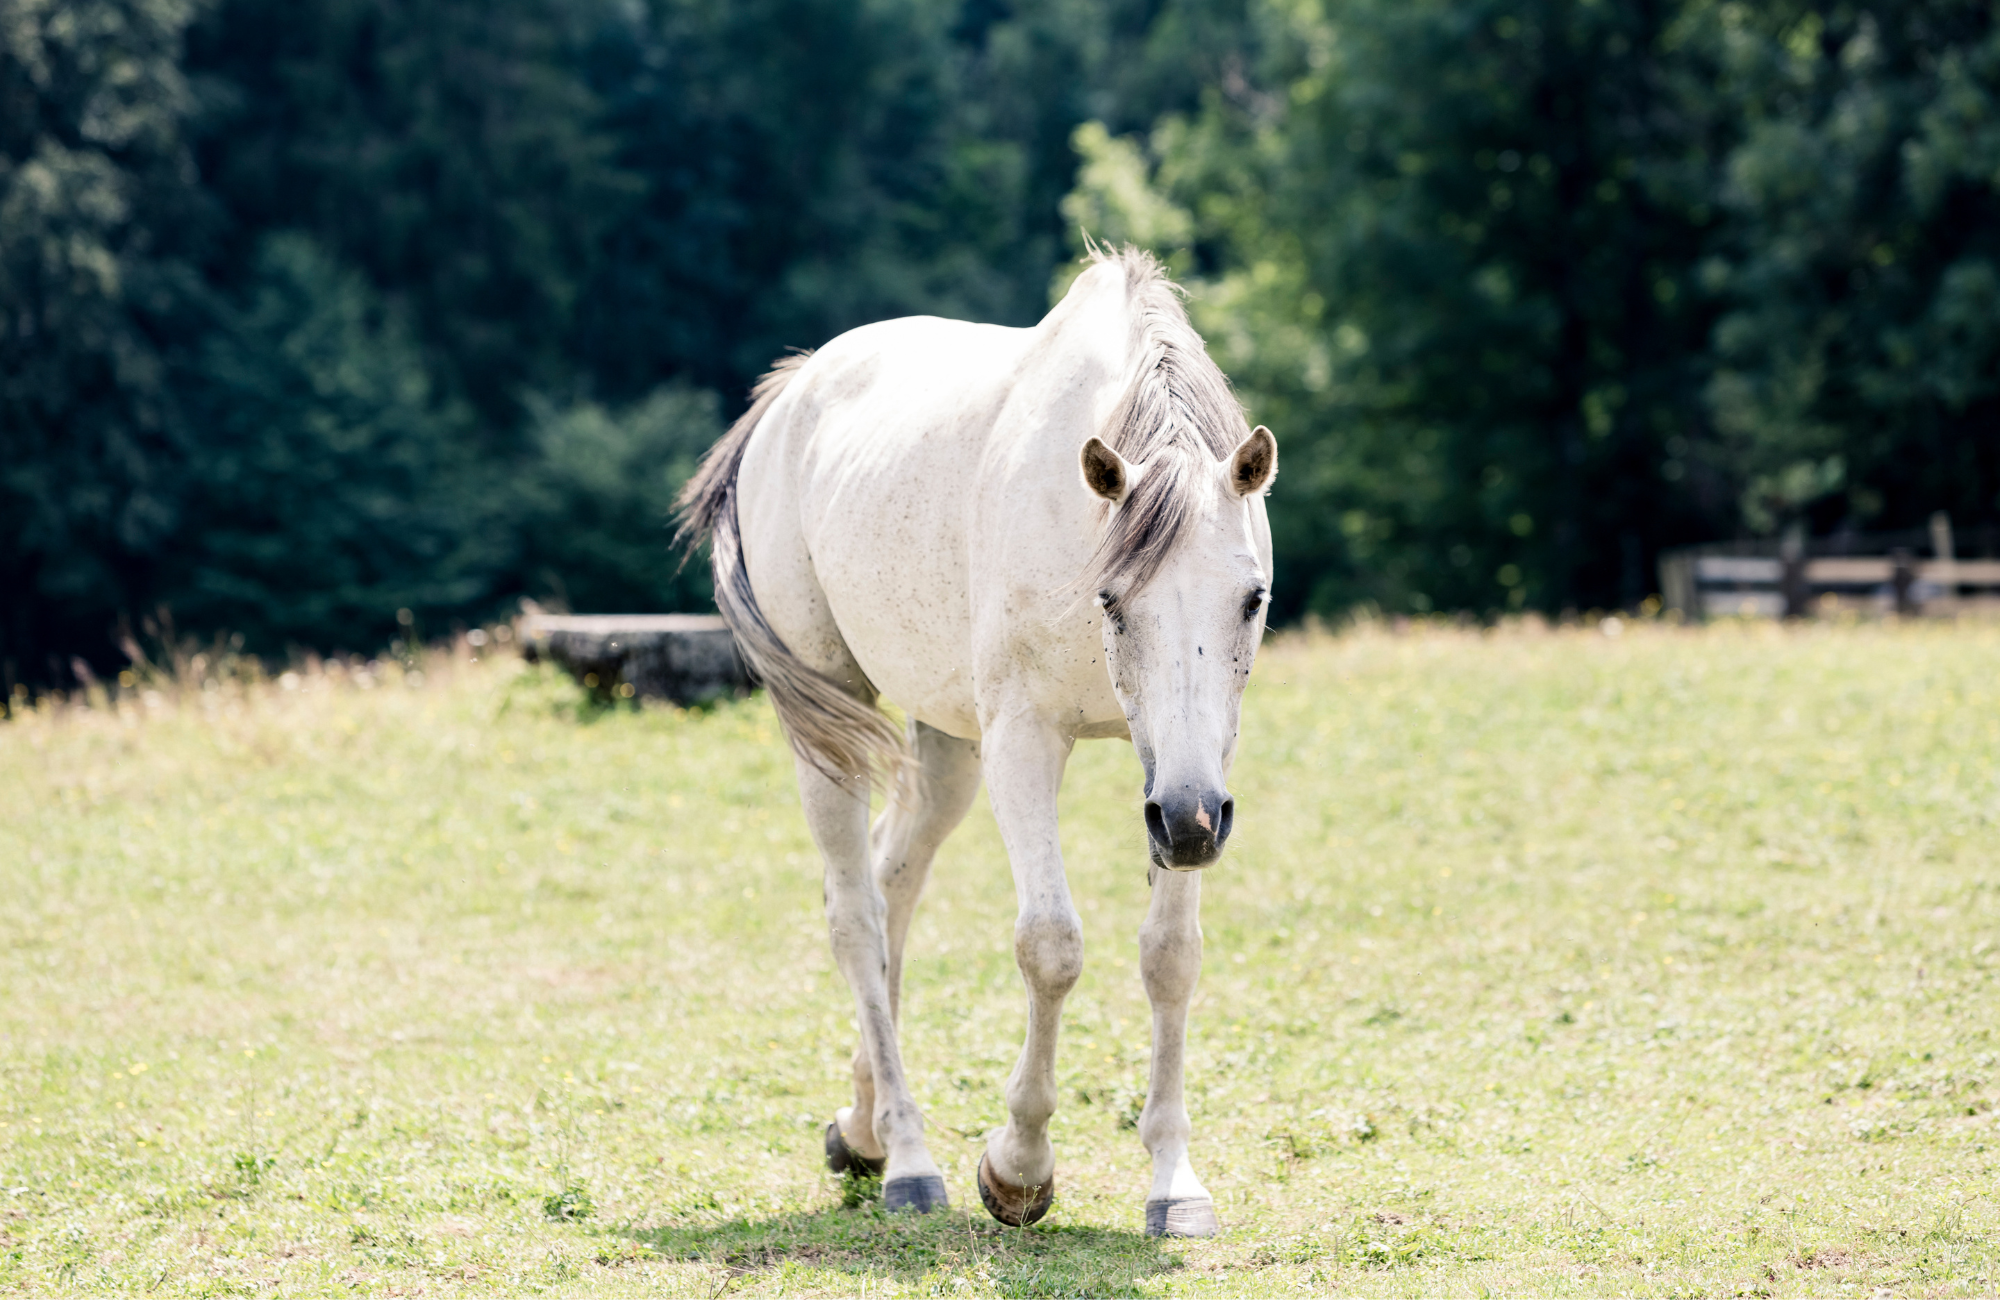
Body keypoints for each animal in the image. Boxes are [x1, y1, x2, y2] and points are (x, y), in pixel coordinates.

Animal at [674, 245, 1276, 1237]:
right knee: (856, 916)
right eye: (1111, 598)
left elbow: (1170, 957)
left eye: (1251, 598)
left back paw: (864, 1129)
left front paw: (1173, 1181)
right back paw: (911, 1163)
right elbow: (1051, 946)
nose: (1191, 822)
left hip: (948, 746)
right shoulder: (1026, 743)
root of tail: (795, 390)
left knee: (894, 885)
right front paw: (1019, 1167)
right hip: (834, 723)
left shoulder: (1190, 775)